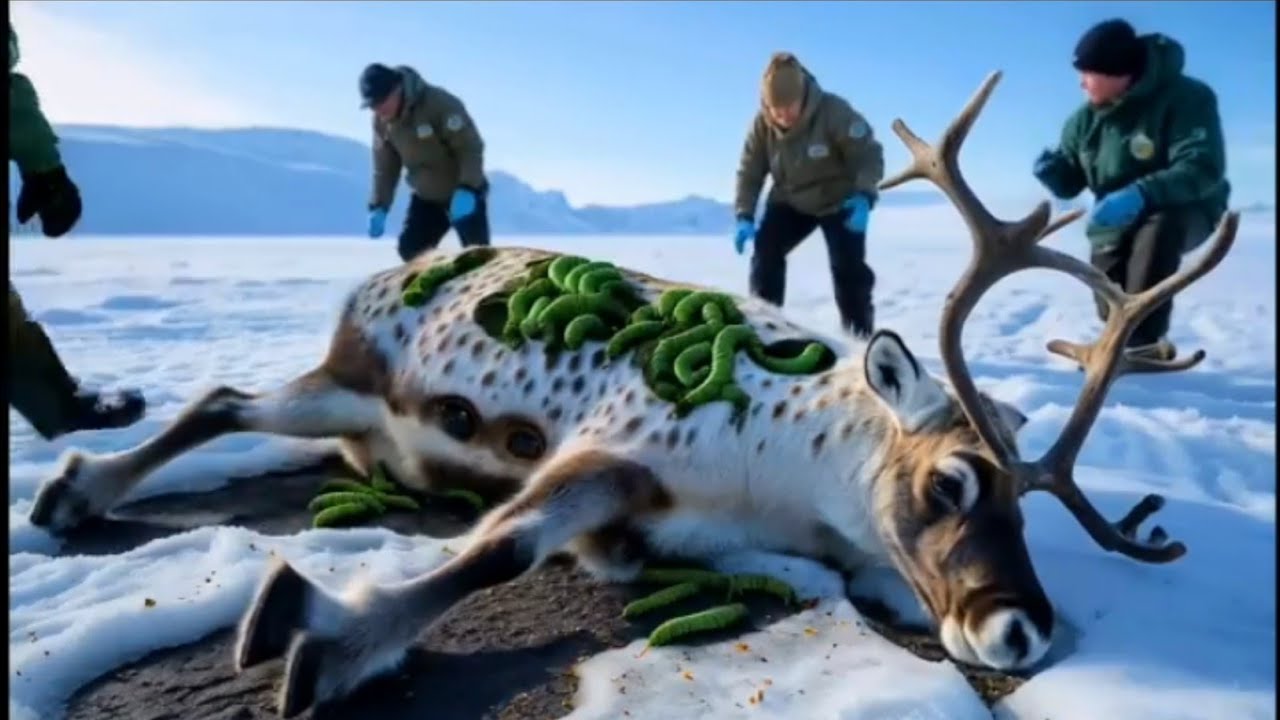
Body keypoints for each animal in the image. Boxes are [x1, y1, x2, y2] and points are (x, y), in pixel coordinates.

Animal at [27, 71, 1237, 718]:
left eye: (1028, 509)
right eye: (951, 482)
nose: (1022, 628)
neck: (788, 479)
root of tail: (372, 280)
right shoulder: (598, 454)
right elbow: (495, 552)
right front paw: (328, 635)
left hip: (347, 417)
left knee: (229, 399)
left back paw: (81, 487)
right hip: (347, 380)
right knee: (221, 399)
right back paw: (77, 489)